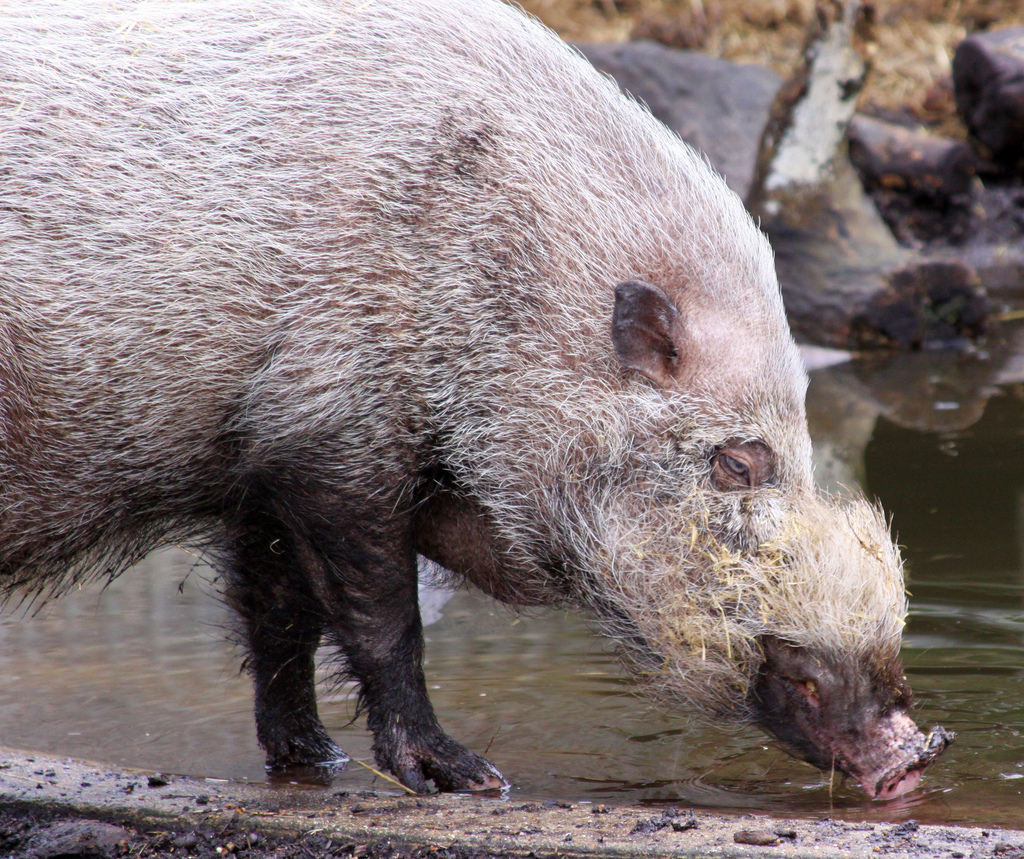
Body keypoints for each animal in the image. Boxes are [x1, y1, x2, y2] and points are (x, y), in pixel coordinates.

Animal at [0, 0, 952, 797]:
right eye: (738, 463)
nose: (913, 754)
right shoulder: (331, 435)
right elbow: (381, 618)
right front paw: (467, 778)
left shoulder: (258, 460)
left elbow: (278, 620)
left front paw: (315, 763)